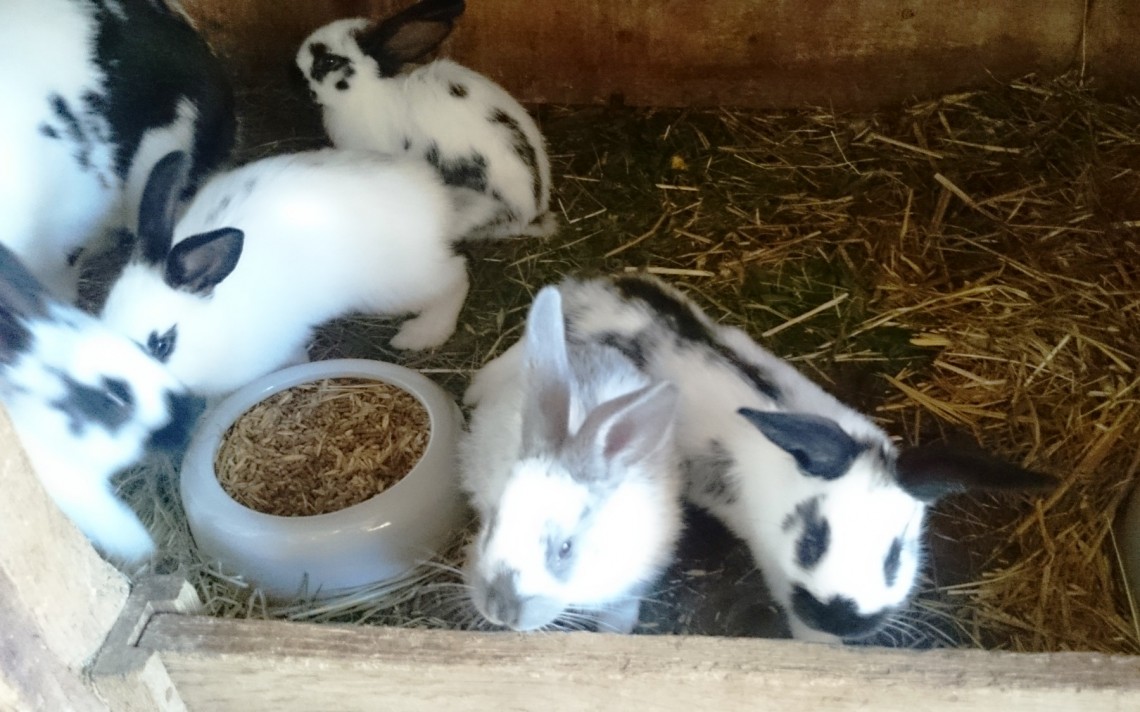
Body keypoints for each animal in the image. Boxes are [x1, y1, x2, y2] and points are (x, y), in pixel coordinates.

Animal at [100, 148, 493, 397]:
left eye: (162, 345)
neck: (215, 322)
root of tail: (440, 203)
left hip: (397, 286)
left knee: (456, 275)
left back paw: (422, 333)